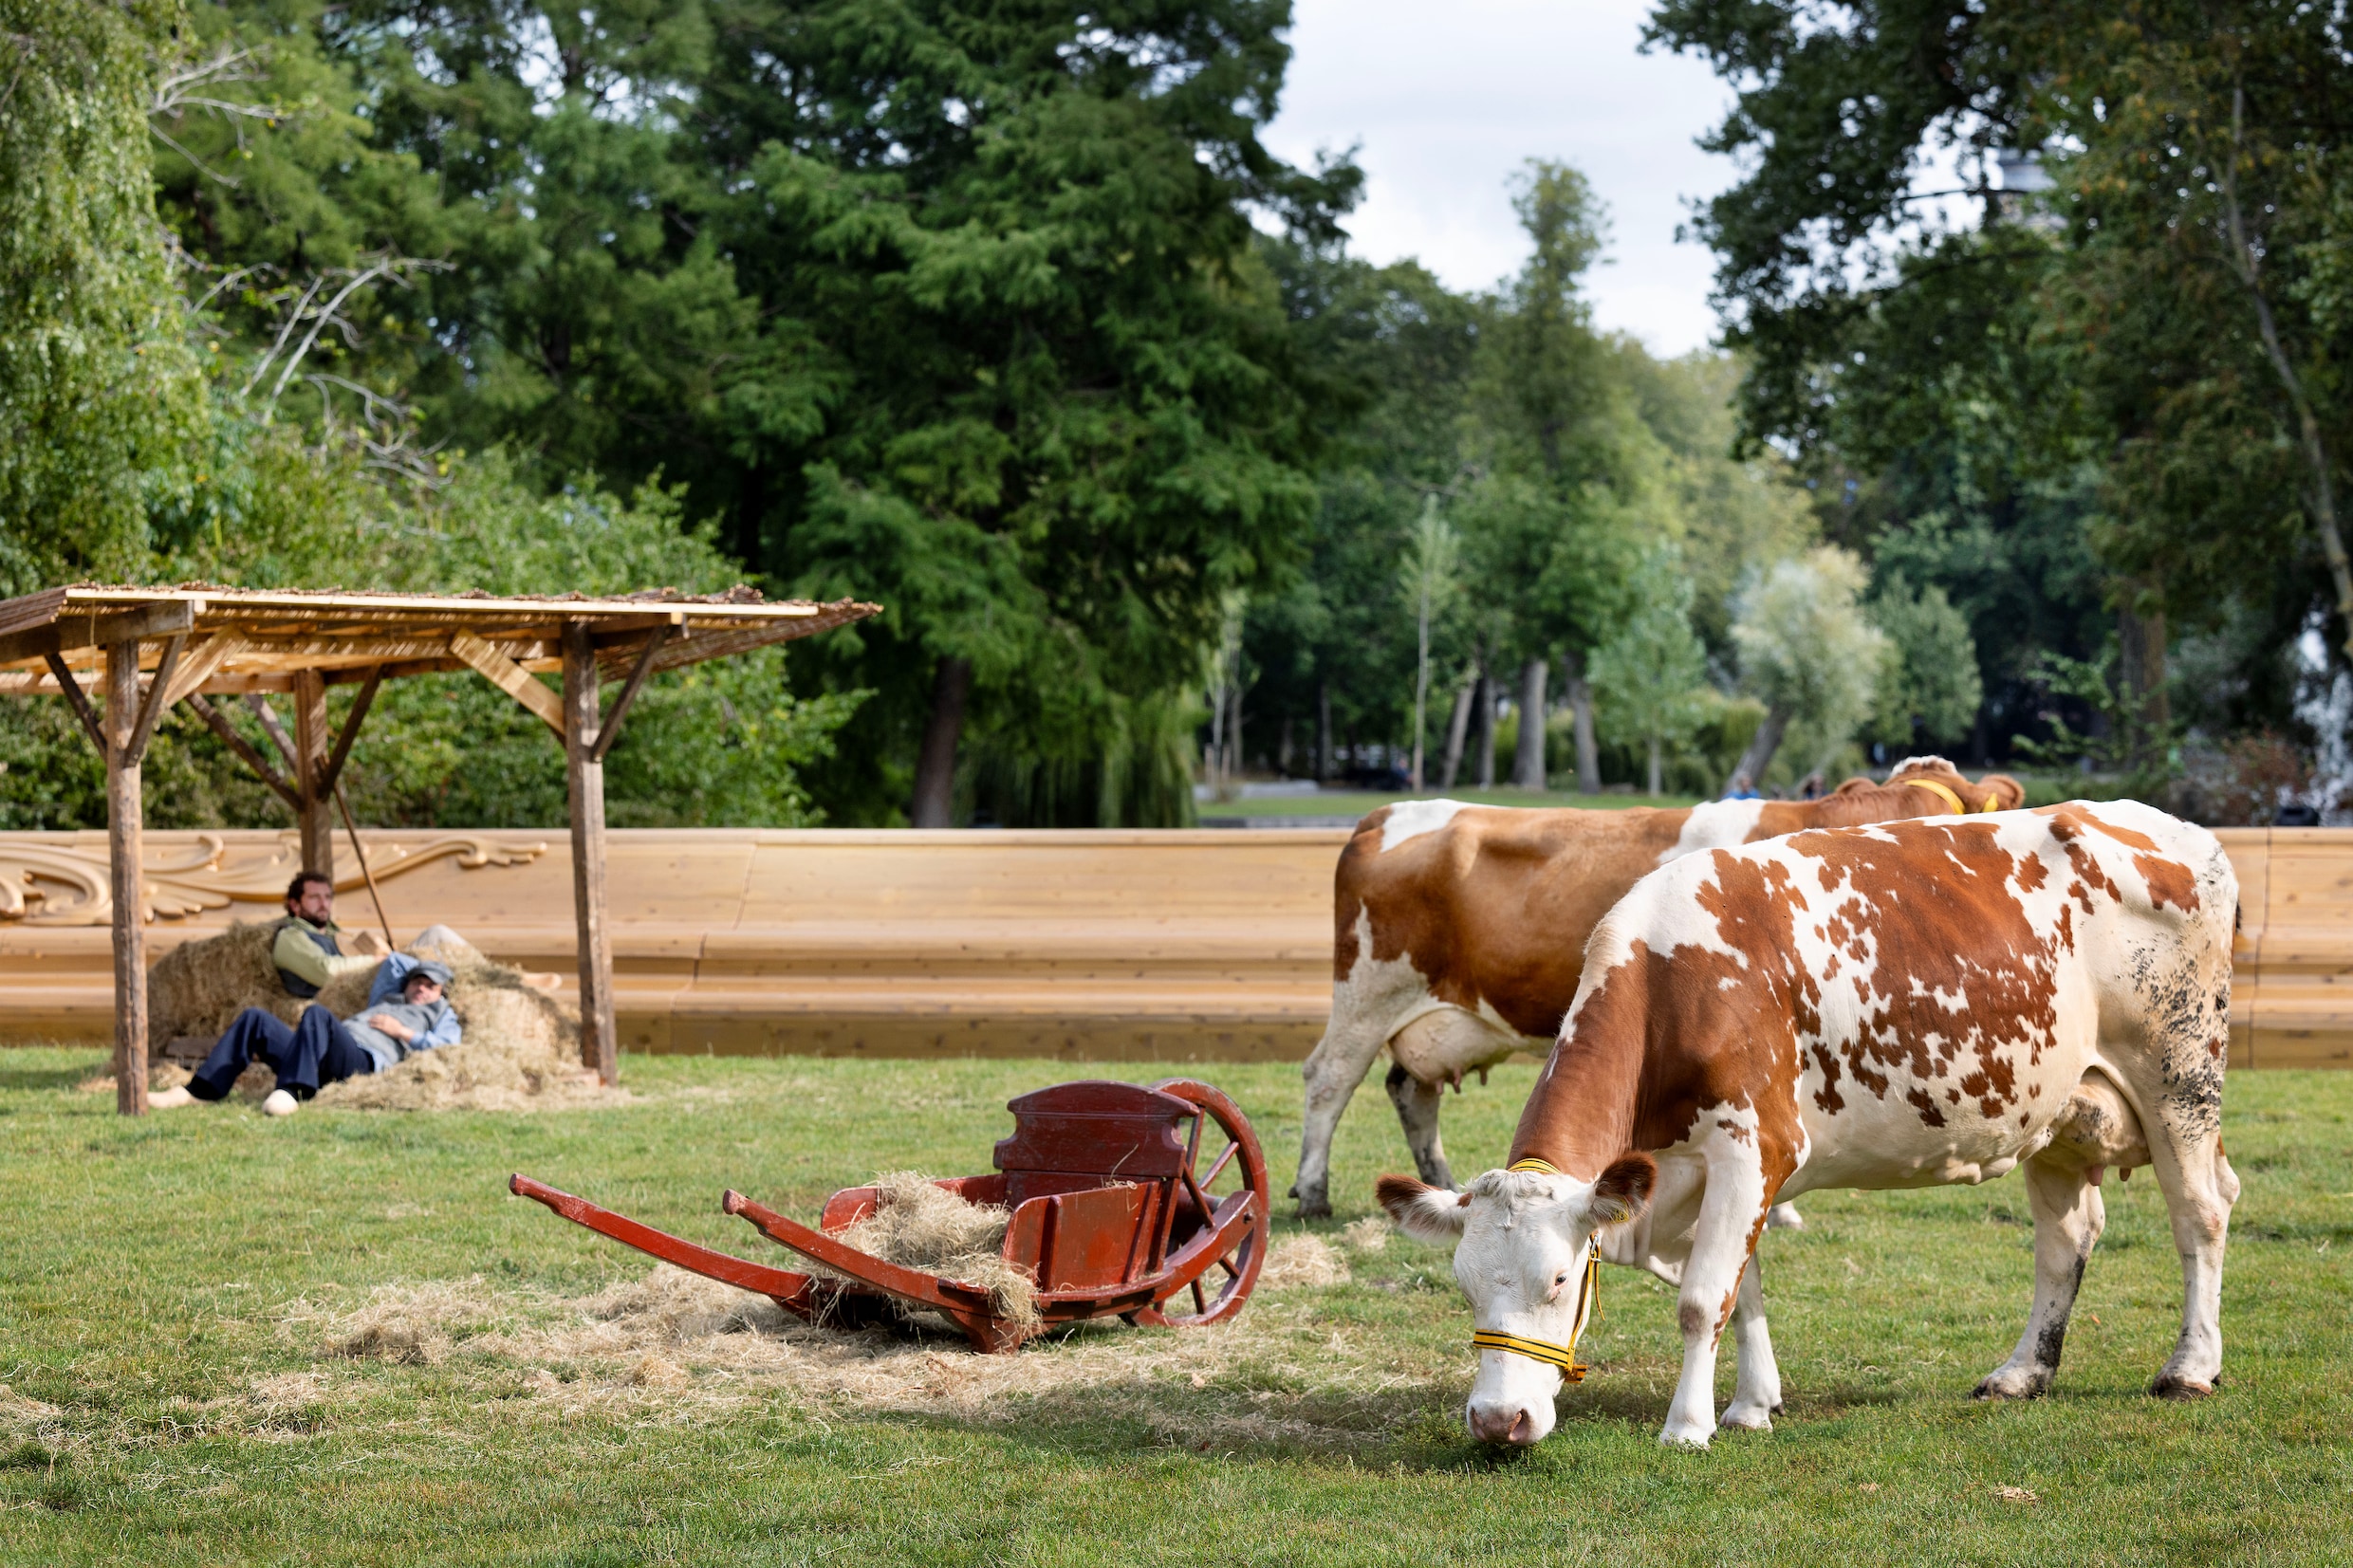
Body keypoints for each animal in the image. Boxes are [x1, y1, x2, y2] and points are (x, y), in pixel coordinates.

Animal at [1295, 757, 2025, 1217]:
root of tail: (1386, 814)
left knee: (1409, 1091)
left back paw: (1442, 1183)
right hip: (1367, 992)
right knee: (1330, 1078)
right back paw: (1313, 1190)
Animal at [1376, 801, 2239, 1448]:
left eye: (1559, 1280)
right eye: (1462, 1285)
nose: (1499, 1419)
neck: (1670, 977)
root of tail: (2175, 828)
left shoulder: (1754, 1142)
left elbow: (1703, 1297)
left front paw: (1687, 1426)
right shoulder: (1707, 1168)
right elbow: (1744, 1288)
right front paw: (1752, 1402)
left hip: (2180, 1078)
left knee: (2201, 1210)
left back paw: (2190, 1366)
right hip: (2061, 1109)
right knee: (2065, 1238)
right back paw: (2024, 1371)